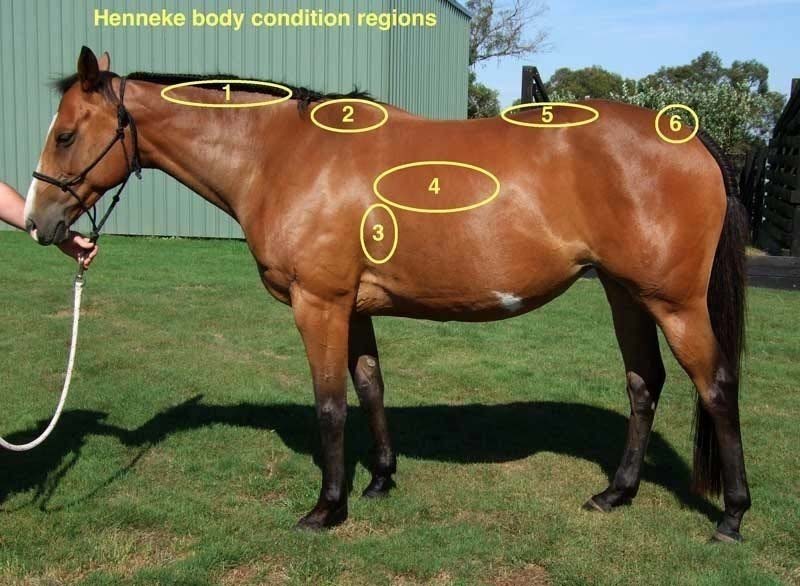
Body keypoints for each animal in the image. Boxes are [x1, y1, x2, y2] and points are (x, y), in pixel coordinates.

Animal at [23, 47, 750, 541]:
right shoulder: (353, 307)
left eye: (66, 134)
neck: (283, 156)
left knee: (715, 386)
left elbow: (329, 405)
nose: (37, 223)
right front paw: (378, 480)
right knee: (644, 384)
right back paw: (615, 494)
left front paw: (327, 507)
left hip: (675, 304)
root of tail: (690, 138)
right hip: (626, 294)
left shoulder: (319, 303)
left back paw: (733, 516)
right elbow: (370, 385)